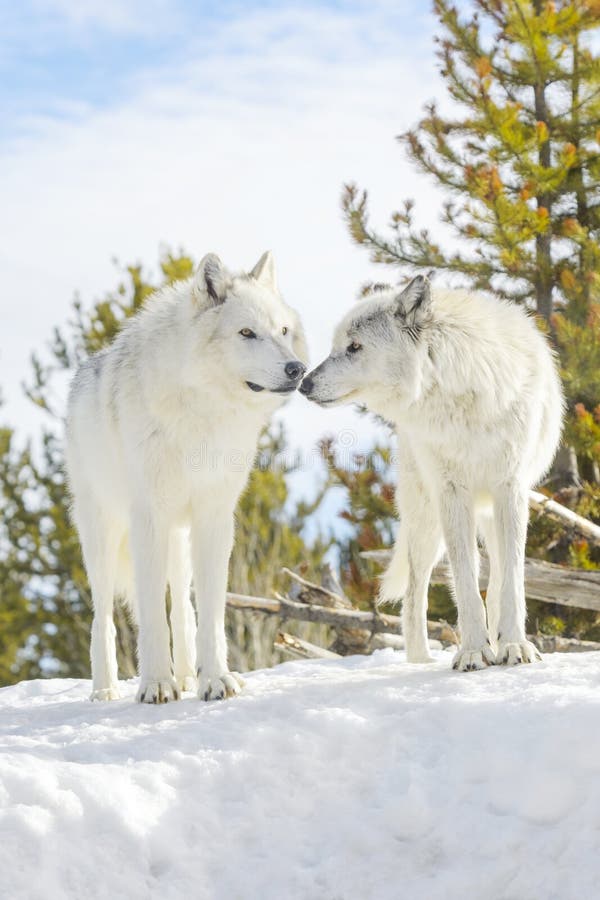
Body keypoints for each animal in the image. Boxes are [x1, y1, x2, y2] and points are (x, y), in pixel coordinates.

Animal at [66, 251, 307, 702]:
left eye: (283, 331)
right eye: (246, 332)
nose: (297, 368)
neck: (203, 413)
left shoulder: (215, 517)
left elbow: (209, 613)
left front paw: (215, 680)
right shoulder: (148, 519)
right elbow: (149, 614)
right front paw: (156, 685)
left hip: (179, 536)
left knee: (181, 607)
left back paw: (187, 678)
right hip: (103, 534)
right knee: (103, 614)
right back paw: (106, 690)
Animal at [300, 276, 563, 670]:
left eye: (354, 346)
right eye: (338, 346)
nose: (303, 383)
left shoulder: (510, 488)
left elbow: (512, 580)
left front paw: (514, 646)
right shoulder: (451, 492)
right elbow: (465, 581)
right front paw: (473, 651)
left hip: (488, 510)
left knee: (498, 574)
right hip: (427, 522)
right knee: (414, 591)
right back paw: (420, 662)